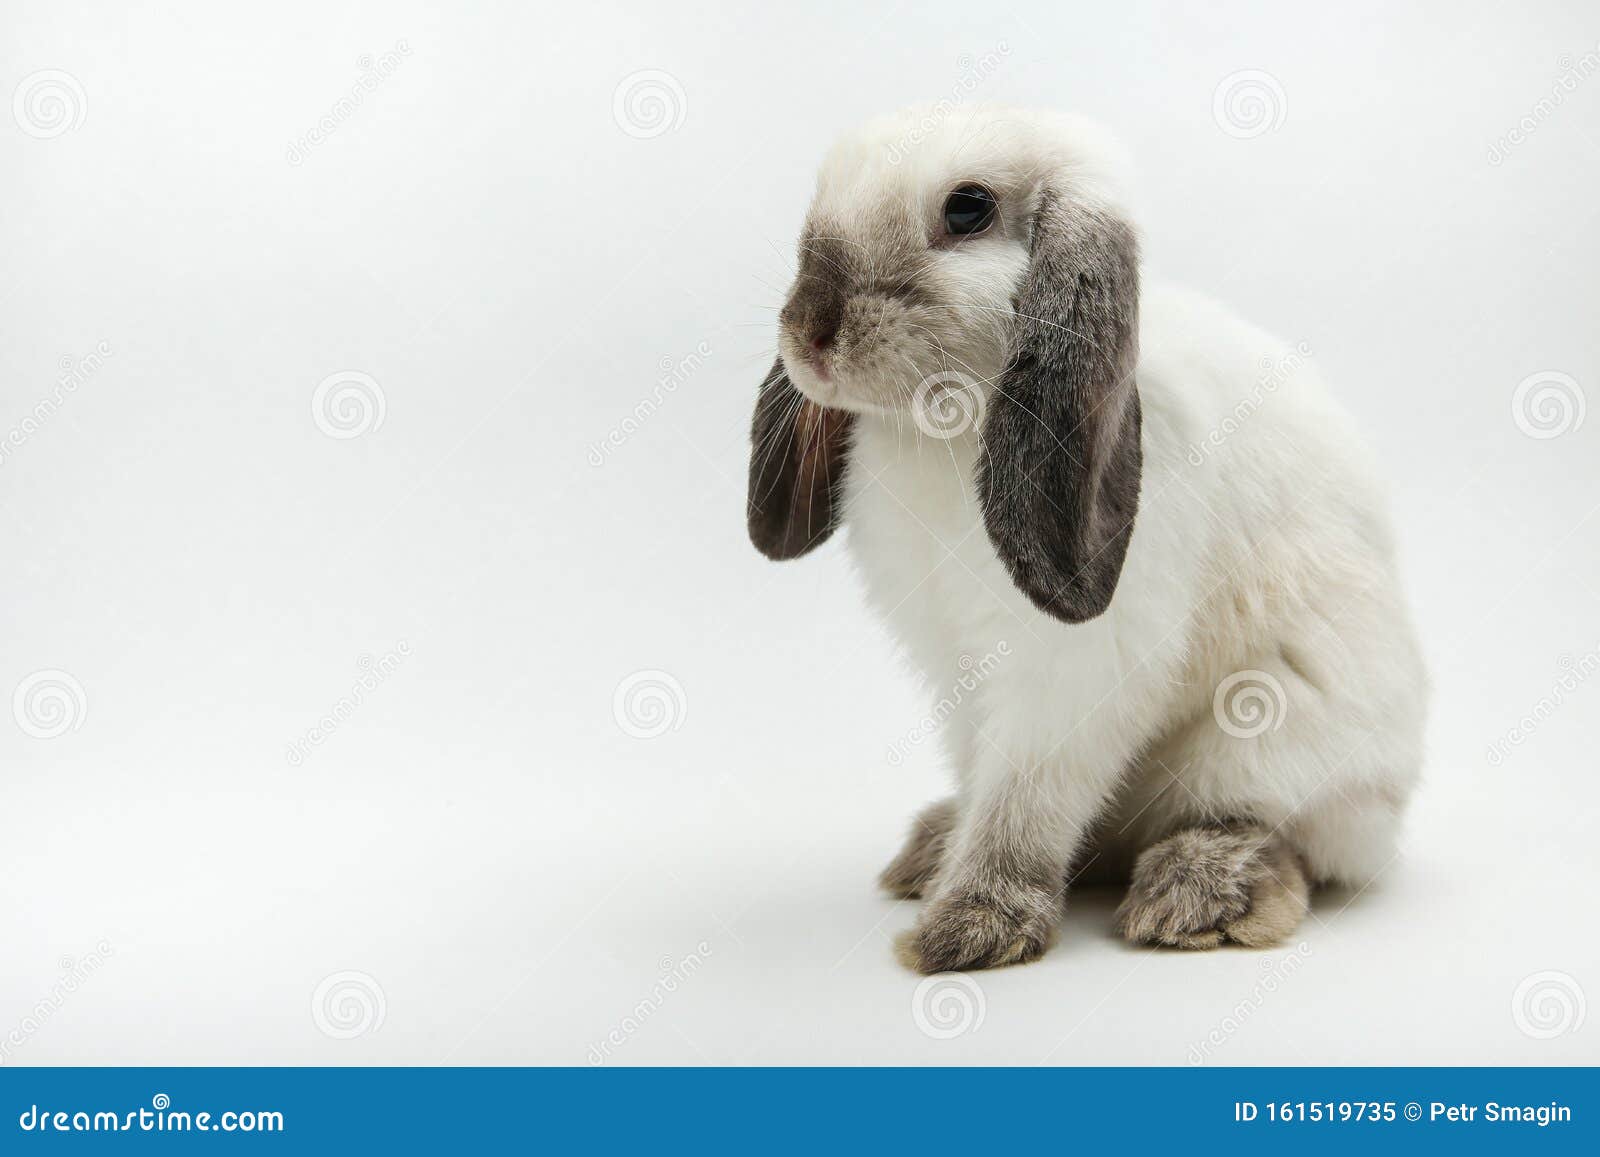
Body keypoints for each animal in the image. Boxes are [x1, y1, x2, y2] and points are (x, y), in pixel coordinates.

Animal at [745, 106, 1427, 973]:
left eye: (967, 209)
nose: (809, 332)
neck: (939, 428)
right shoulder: (959, 668)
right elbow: (990, 781)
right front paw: (956, 884)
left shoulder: (1069, 674)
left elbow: (1020, 805)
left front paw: (971, 926)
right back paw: (929, 850)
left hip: (1271, 736)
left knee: (1273, 829)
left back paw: (1199, 896)